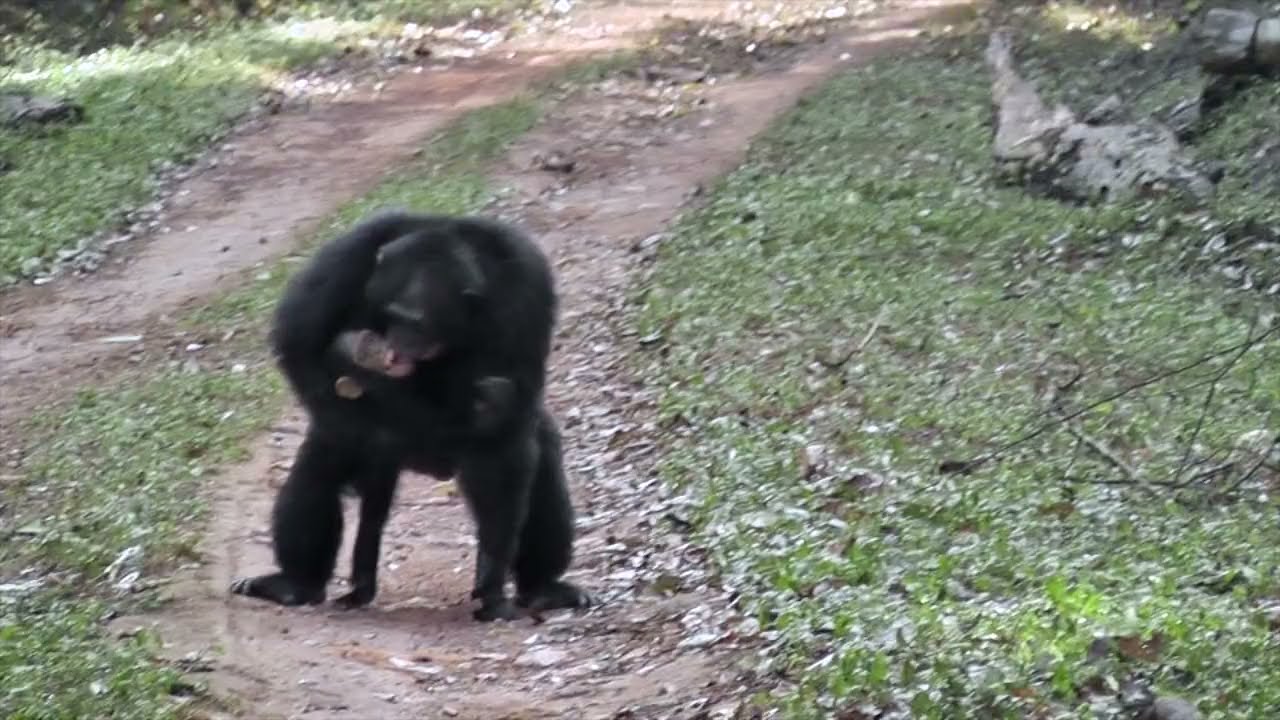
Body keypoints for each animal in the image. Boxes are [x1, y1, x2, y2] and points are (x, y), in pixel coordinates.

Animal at [229, 210, 591, 621]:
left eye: (417, 323)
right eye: (392, 315)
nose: (399, 342)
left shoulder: (526, 290)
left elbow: (505, 429)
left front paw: (492, 586)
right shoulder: (346, 258)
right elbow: (301, 340)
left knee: (540, 461)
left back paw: (543, 587)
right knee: (322, 462)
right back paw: (295, 583)